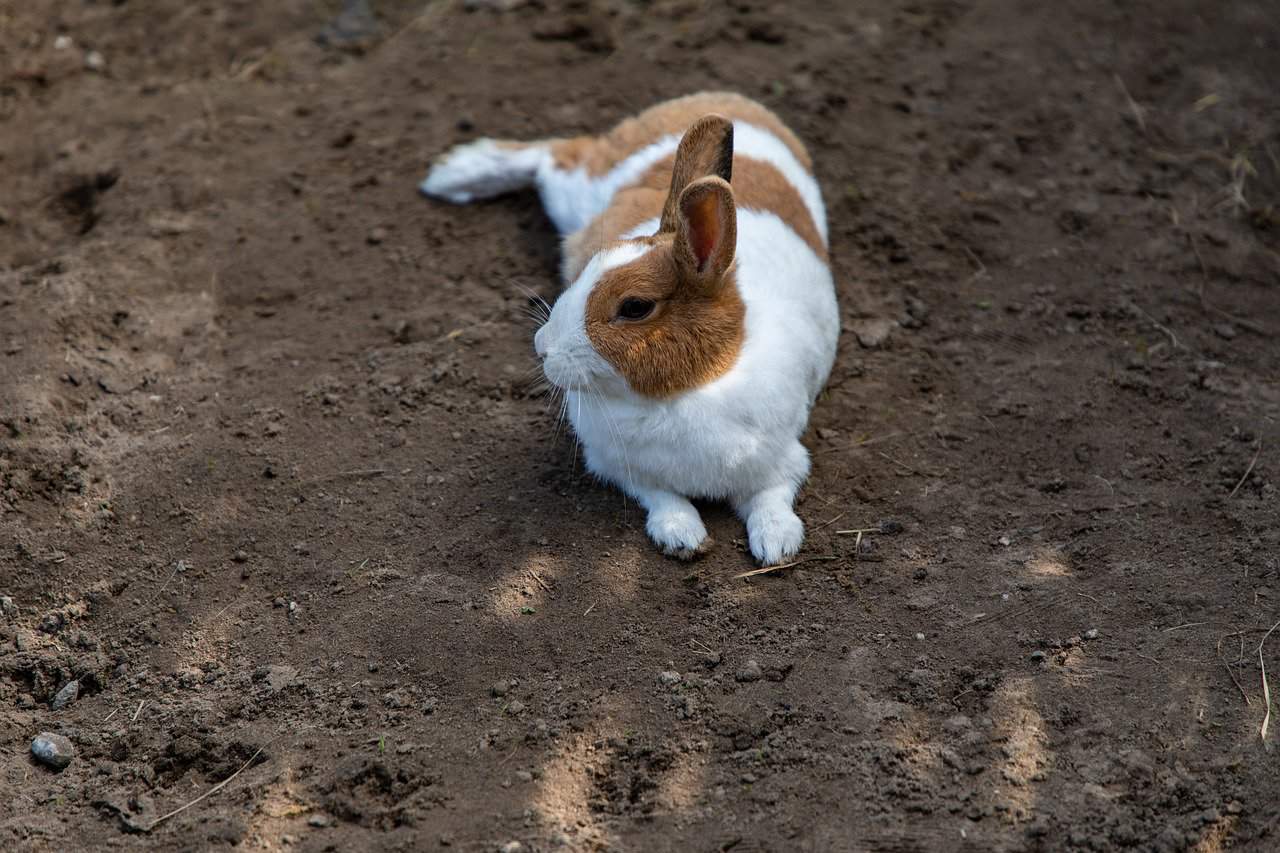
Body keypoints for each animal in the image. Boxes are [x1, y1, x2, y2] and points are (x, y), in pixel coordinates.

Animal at [421, 92, 838, 565]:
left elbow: (772, 499)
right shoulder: (618, 465)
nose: (542, 347)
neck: (686, 392)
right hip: (577, 187)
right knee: (558, 153)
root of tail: (729, 101)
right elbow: (662, 497)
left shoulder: (782, 460)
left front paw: (777, 545)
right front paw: (681, 536)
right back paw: (454, 174)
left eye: (635, 307)